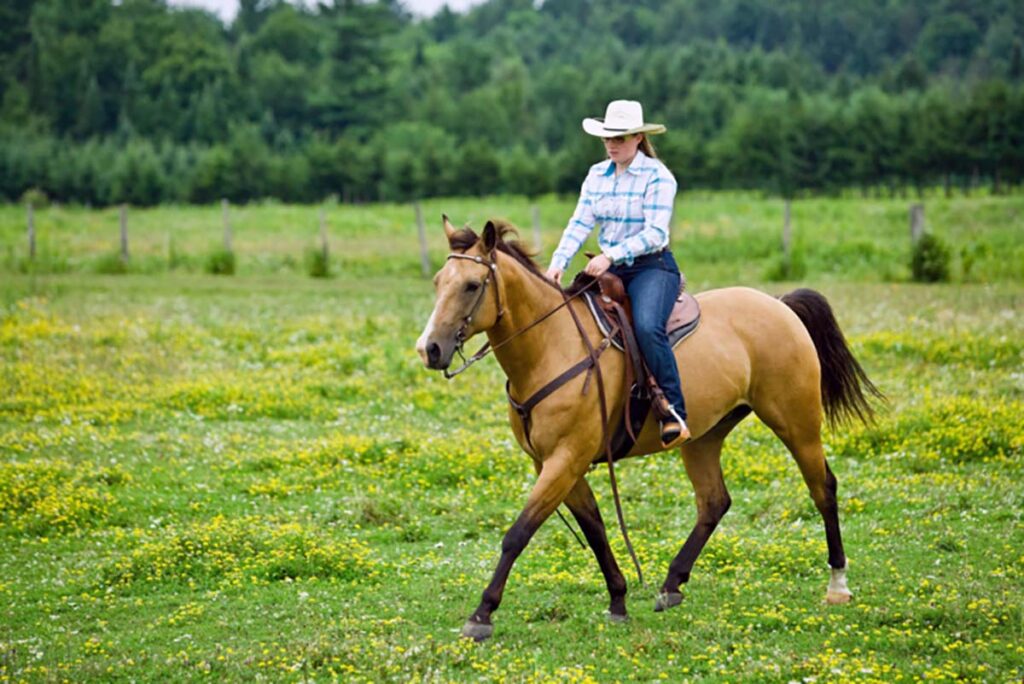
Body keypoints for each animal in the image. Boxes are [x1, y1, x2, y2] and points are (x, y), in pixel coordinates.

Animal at [415, 216, 882, 642]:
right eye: (438, 282)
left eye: (472, 285)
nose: (429, 349)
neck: (552, 346)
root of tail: (780, 304)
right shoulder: (556, 464)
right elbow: (595, 528)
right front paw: (618, 600)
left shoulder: (566, 459)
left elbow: (518, 533)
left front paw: (481, 614)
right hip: (704, 437)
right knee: (714, 502)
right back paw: (671, 584)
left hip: (797, 423)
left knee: (823, 488)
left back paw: (838, 585)